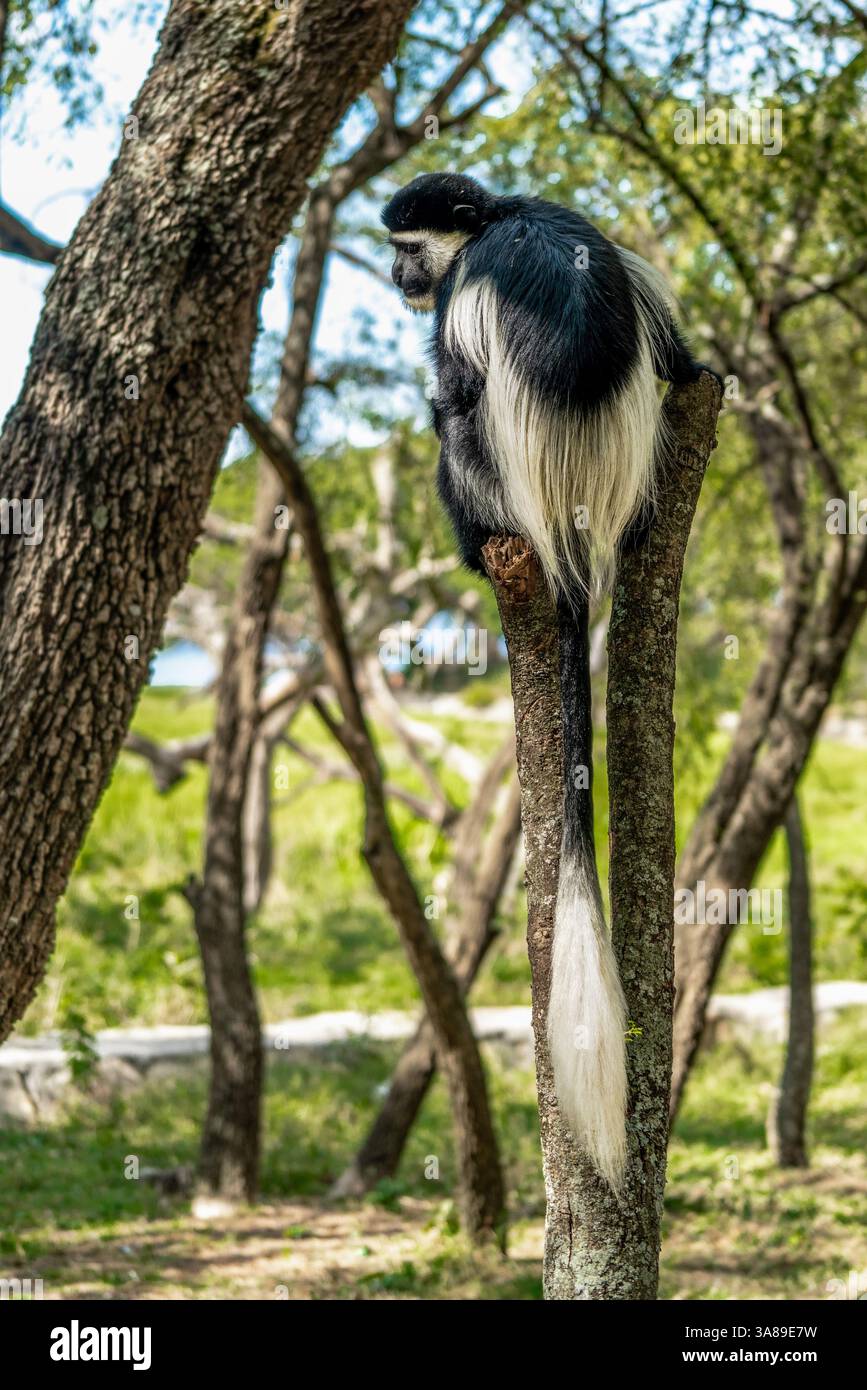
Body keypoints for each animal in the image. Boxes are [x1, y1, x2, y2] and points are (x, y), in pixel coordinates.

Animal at [382, 171, 709, 1193]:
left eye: (408, 248)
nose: (397, 277)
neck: (498, 217)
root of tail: (565, 532)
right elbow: (682, 360)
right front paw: (693, 366)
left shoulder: (461, 294)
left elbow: (455, 389)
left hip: (492, 482)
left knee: (458, 422)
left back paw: (472, 544)